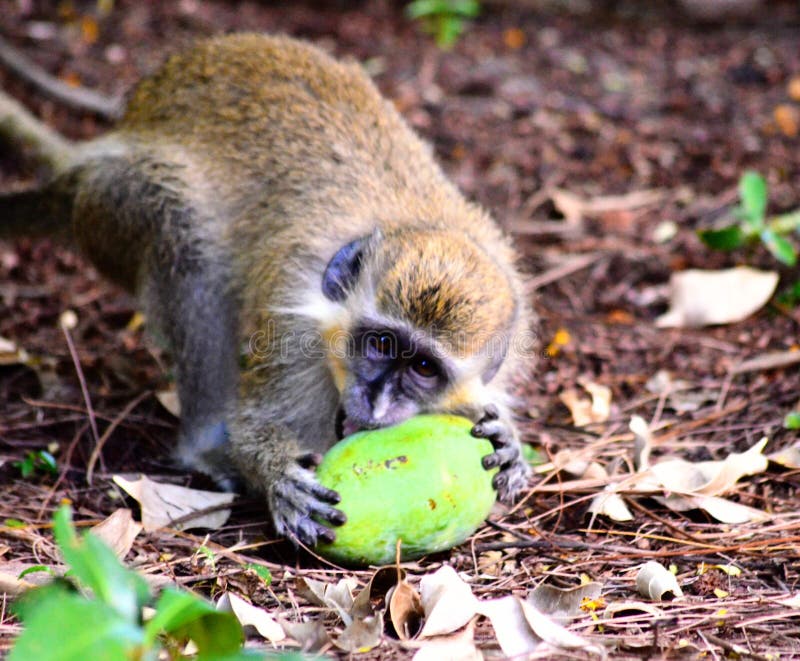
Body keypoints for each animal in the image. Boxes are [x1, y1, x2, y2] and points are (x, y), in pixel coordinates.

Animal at [0, 33, 533, 546]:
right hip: (113, 205)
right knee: (184, 235)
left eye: (424, 368)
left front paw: (507, 442)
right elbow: (255, 420)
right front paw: (275, 472)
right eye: (381, 343)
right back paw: (206, 444)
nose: (377, 402)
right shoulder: (290, 330)